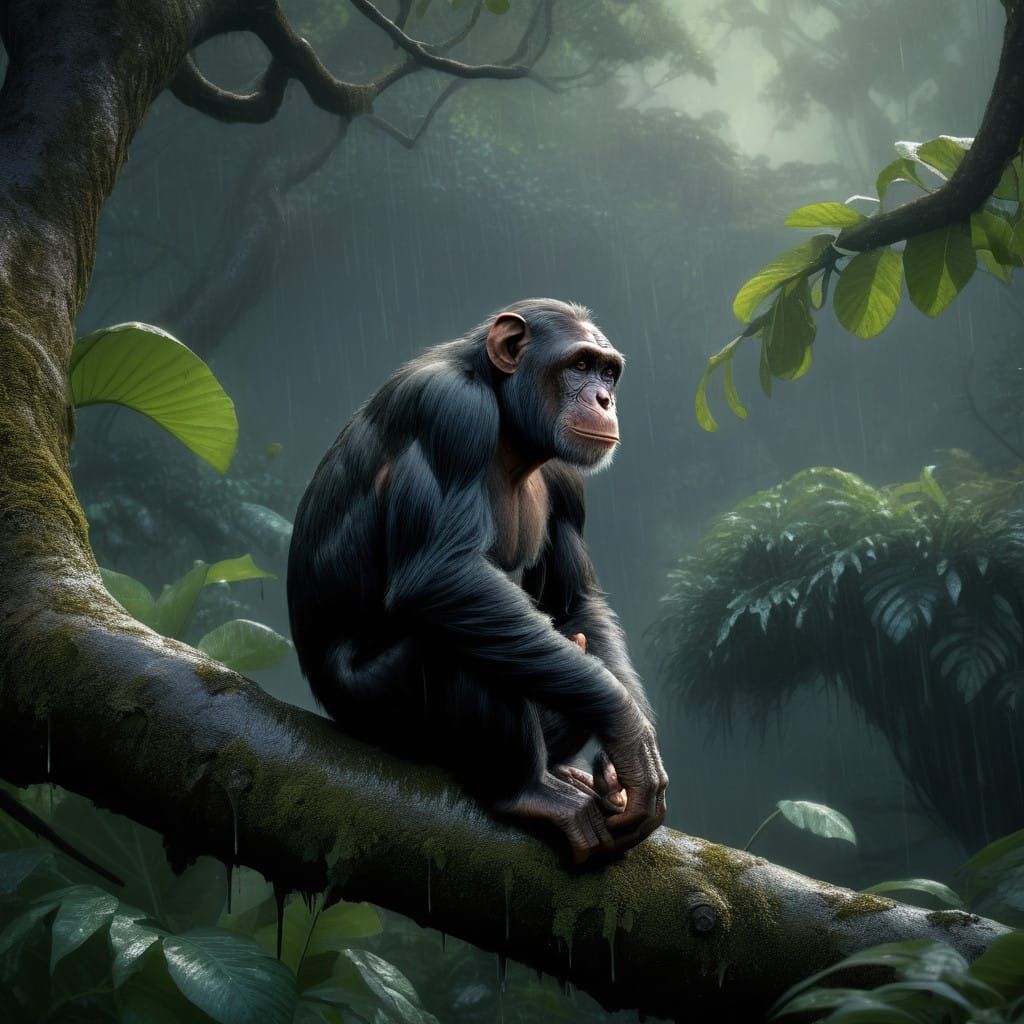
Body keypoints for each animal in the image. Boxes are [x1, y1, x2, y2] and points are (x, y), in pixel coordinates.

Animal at [287, 299, 667, 862]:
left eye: (607, 372)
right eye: (579, 365)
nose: (603, 398)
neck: (509, 422)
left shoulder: (567, 480)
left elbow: (576, 601)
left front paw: (620, 761)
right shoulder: (451, 415)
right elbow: (442, 573)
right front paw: (628, 731)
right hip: (375, 710)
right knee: (455, 632)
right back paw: (526, 791)